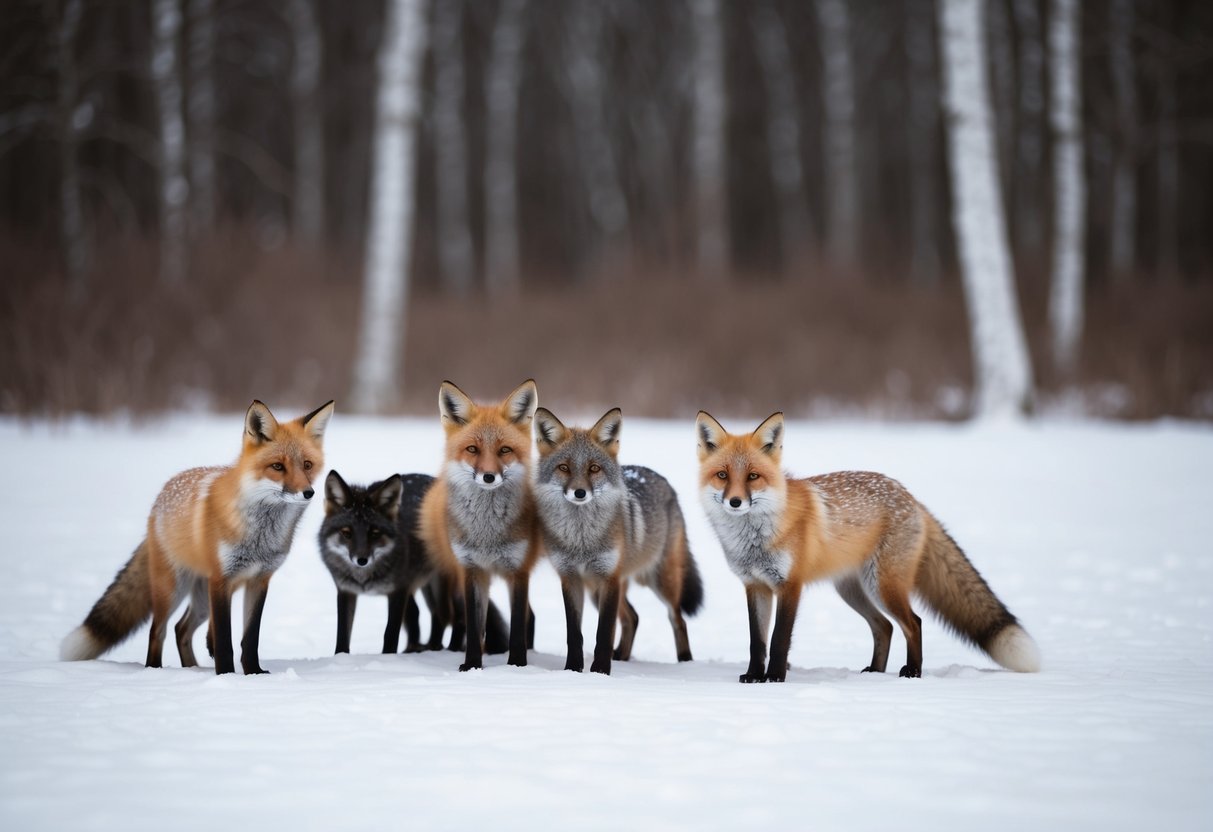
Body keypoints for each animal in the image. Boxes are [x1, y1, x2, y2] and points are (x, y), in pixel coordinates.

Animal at [61, 400, 334, 675]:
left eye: (307, 465)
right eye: (278, 466)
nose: (308, 493)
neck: (259, 536)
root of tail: (161, 497)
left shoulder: (259, 580)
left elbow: (250, 638)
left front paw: (253, 673)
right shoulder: (222, 580)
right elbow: (224, 640)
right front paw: (225, 675)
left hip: (204, 597)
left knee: (181, 628)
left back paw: (191, 669)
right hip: (173, 589)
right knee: (157, 631)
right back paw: (155, 670)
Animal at [319, 470, 507, 655]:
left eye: (374, 533)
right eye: (346, 533)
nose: (361, 560)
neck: (365, 580)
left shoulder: (398, 591)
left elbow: (390, 633)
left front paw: (388, 657)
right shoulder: (346, 591)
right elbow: (342, 635)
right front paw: (341, 658)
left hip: (445, 586)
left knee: (456, 617)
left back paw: (448, 650)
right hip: (427, 587)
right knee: (433, 616)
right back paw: (428, 648)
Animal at [417, 379, 541, 671]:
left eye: (504, 450)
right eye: (472, 449)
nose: (488, 477)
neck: (488, 533)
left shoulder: (519, 570)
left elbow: (517, 626)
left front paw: (517, 665)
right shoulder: (471, 569)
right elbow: (475, 627)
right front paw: (472, 665)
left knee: (529, 616)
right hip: (449, 578)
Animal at [534, 406, 703, 675]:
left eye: (594, 468)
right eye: (564, 467)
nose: (579, 493)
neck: (583, 540)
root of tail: (662, 479)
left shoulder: (609, 578)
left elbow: (604, 632)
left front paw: (600, 672)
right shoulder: (570, 578)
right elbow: (575, 634)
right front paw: (573, 670)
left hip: (661, 582)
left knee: (678, 620)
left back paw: (685, 662)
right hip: (597, 591)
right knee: (632, 618)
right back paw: (622, 656)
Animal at [695, 410, 1041, 682]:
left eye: (753, 476)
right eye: (722, 475)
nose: (735, 502)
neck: (755, 539)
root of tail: (911, 496)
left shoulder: (790, 585)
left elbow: (779, 639)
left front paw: (775, 678)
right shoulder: (755, 586)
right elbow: (757, 641)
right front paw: (754, 676)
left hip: (883, 585)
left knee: (913, 623)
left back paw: (913, 672)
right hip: (852, 590)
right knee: (885, 626)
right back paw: (875, 671)